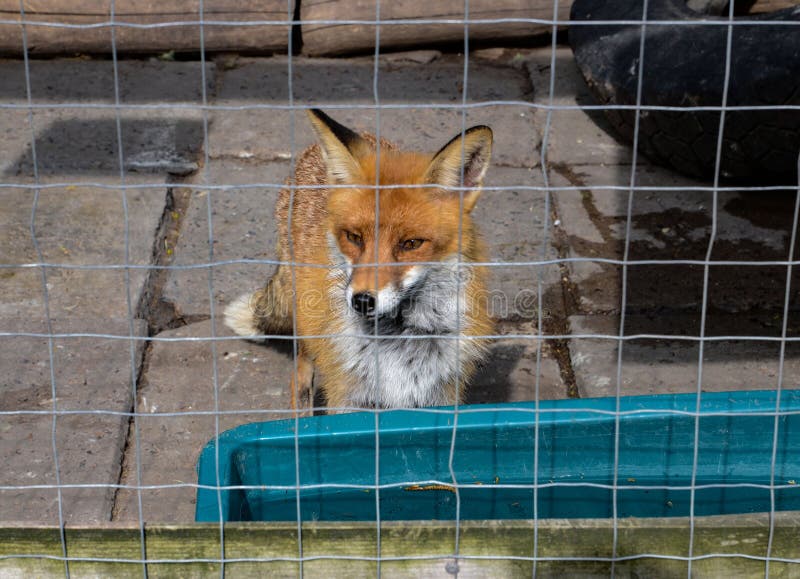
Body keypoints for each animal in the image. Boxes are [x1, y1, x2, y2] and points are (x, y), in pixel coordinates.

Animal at [224, 109, 494, 410]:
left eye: (411, 244)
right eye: (354, 237)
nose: (362, 300)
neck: (396, 340)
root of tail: (311, 153)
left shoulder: (439, 398)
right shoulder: (349, 397)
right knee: (300, 380)